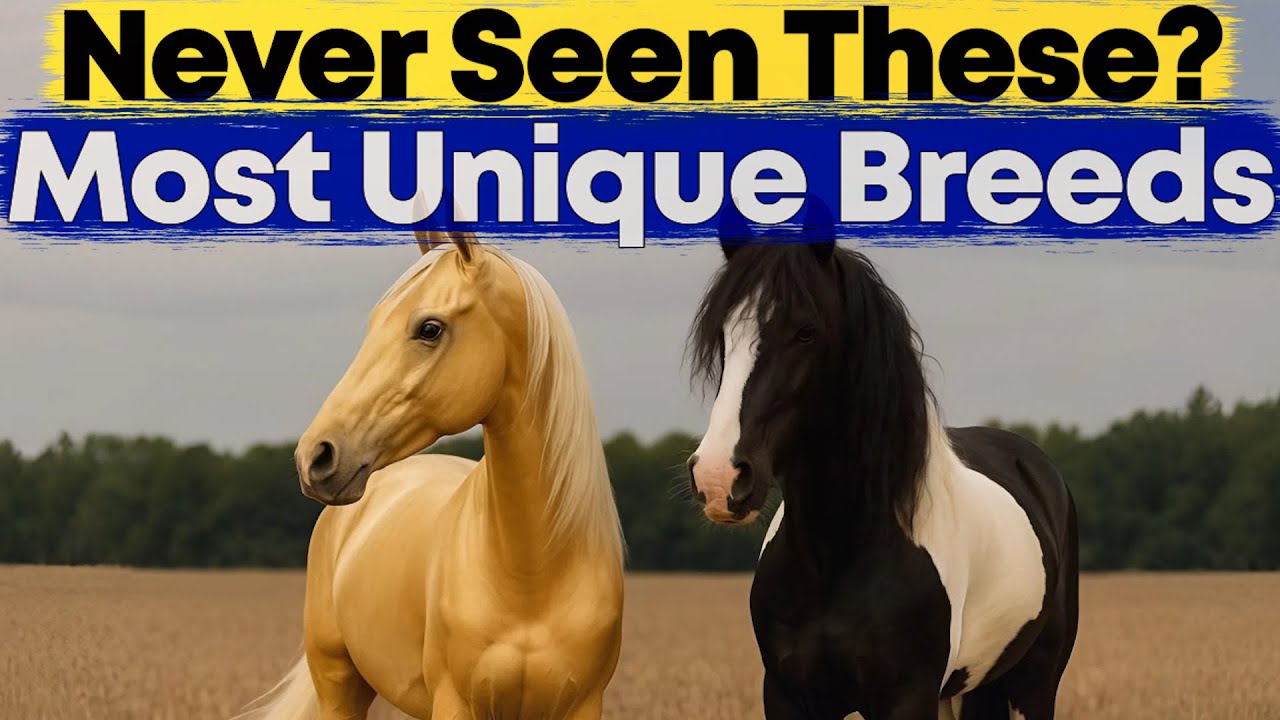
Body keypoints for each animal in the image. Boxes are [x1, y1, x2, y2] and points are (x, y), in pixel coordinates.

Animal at [241, 229, 625, 720]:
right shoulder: (454, 702)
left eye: (429, 328)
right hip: (339, 683)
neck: (531, 577)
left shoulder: (581, 706)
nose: (316, 456)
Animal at [684, 203, 1079, 720]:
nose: (718, 477)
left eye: (806, 331)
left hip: (1033, 682)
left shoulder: (907, 697)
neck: (839, 559)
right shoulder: (789, 696)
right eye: (724, 334)